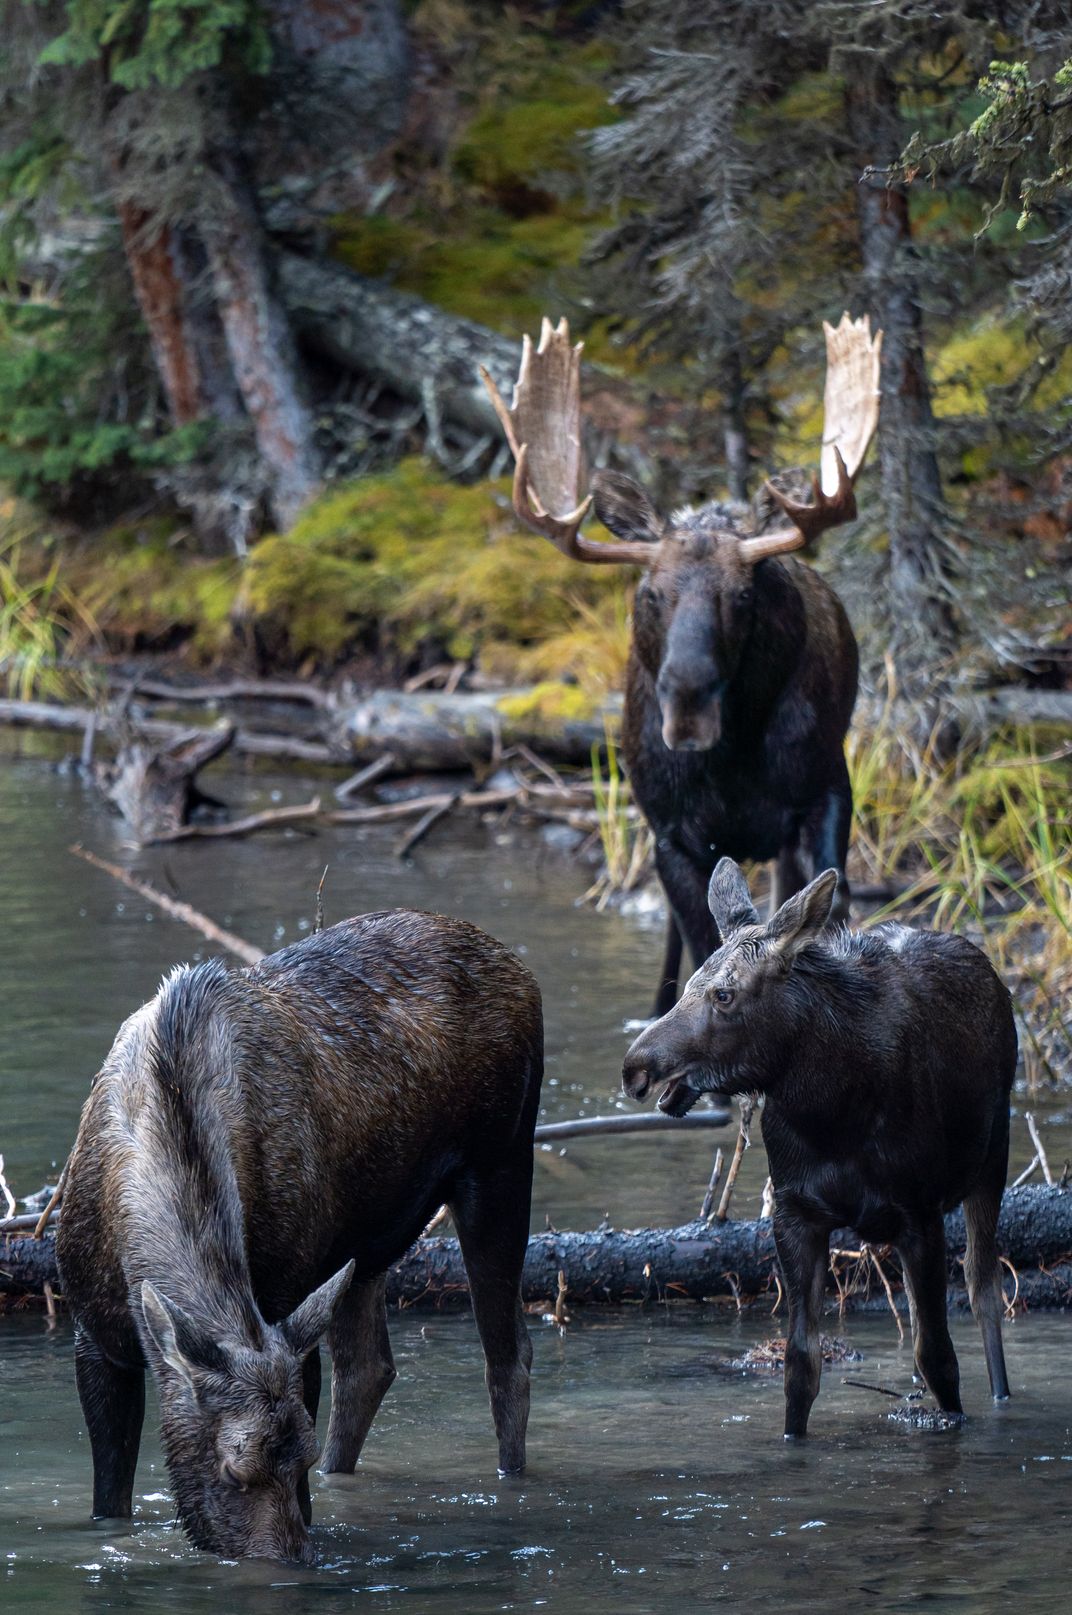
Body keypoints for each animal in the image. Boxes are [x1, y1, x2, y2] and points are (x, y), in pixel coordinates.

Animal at [482, 314, 881, 1018]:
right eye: (649, 594)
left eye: (744, 594)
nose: (687, 705)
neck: (732, 763)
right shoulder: (671, 837)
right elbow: (701, 954)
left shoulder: (827, 793)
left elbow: (822, 924)